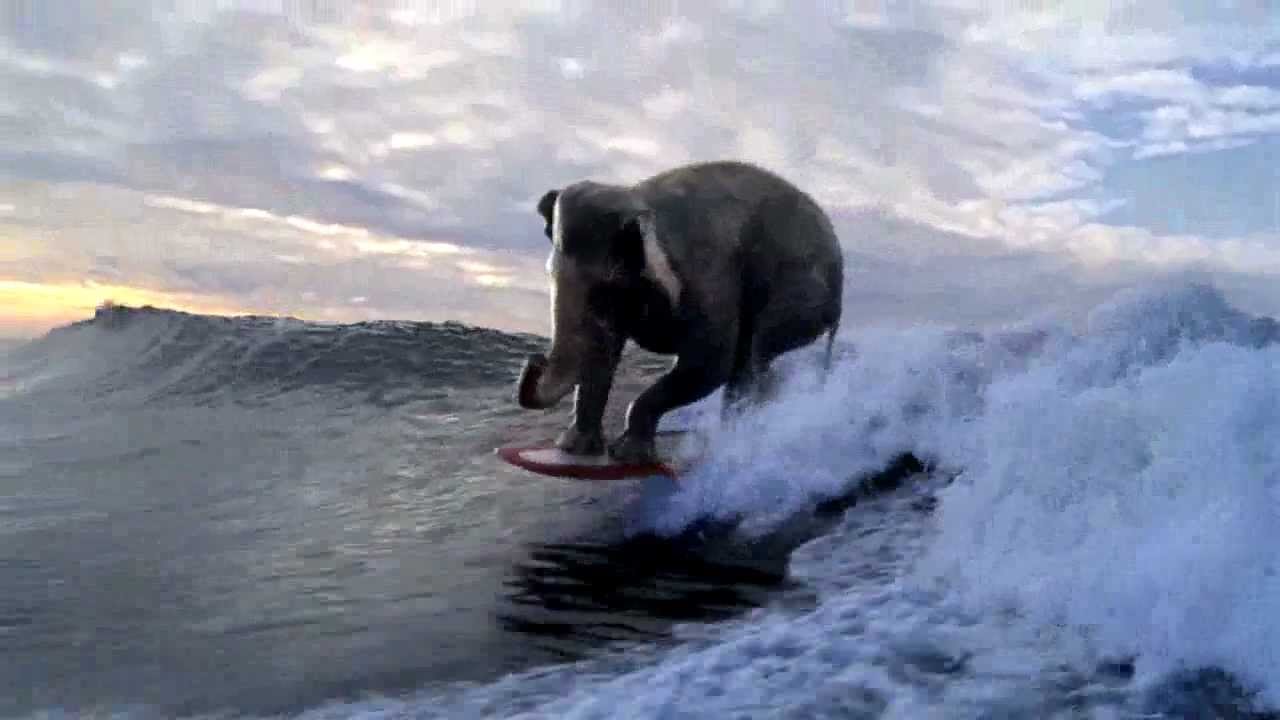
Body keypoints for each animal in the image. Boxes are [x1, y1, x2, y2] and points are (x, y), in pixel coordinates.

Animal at [515, 160, 845, 464]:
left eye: (603, 288)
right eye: (550, 274)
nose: (534, 358)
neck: (638, 196)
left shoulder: (709, 279)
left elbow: (708, 364)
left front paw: (627, 457)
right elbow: (603, 355)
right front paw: (573, 451)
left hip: (799, 295)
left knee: (754, 356)